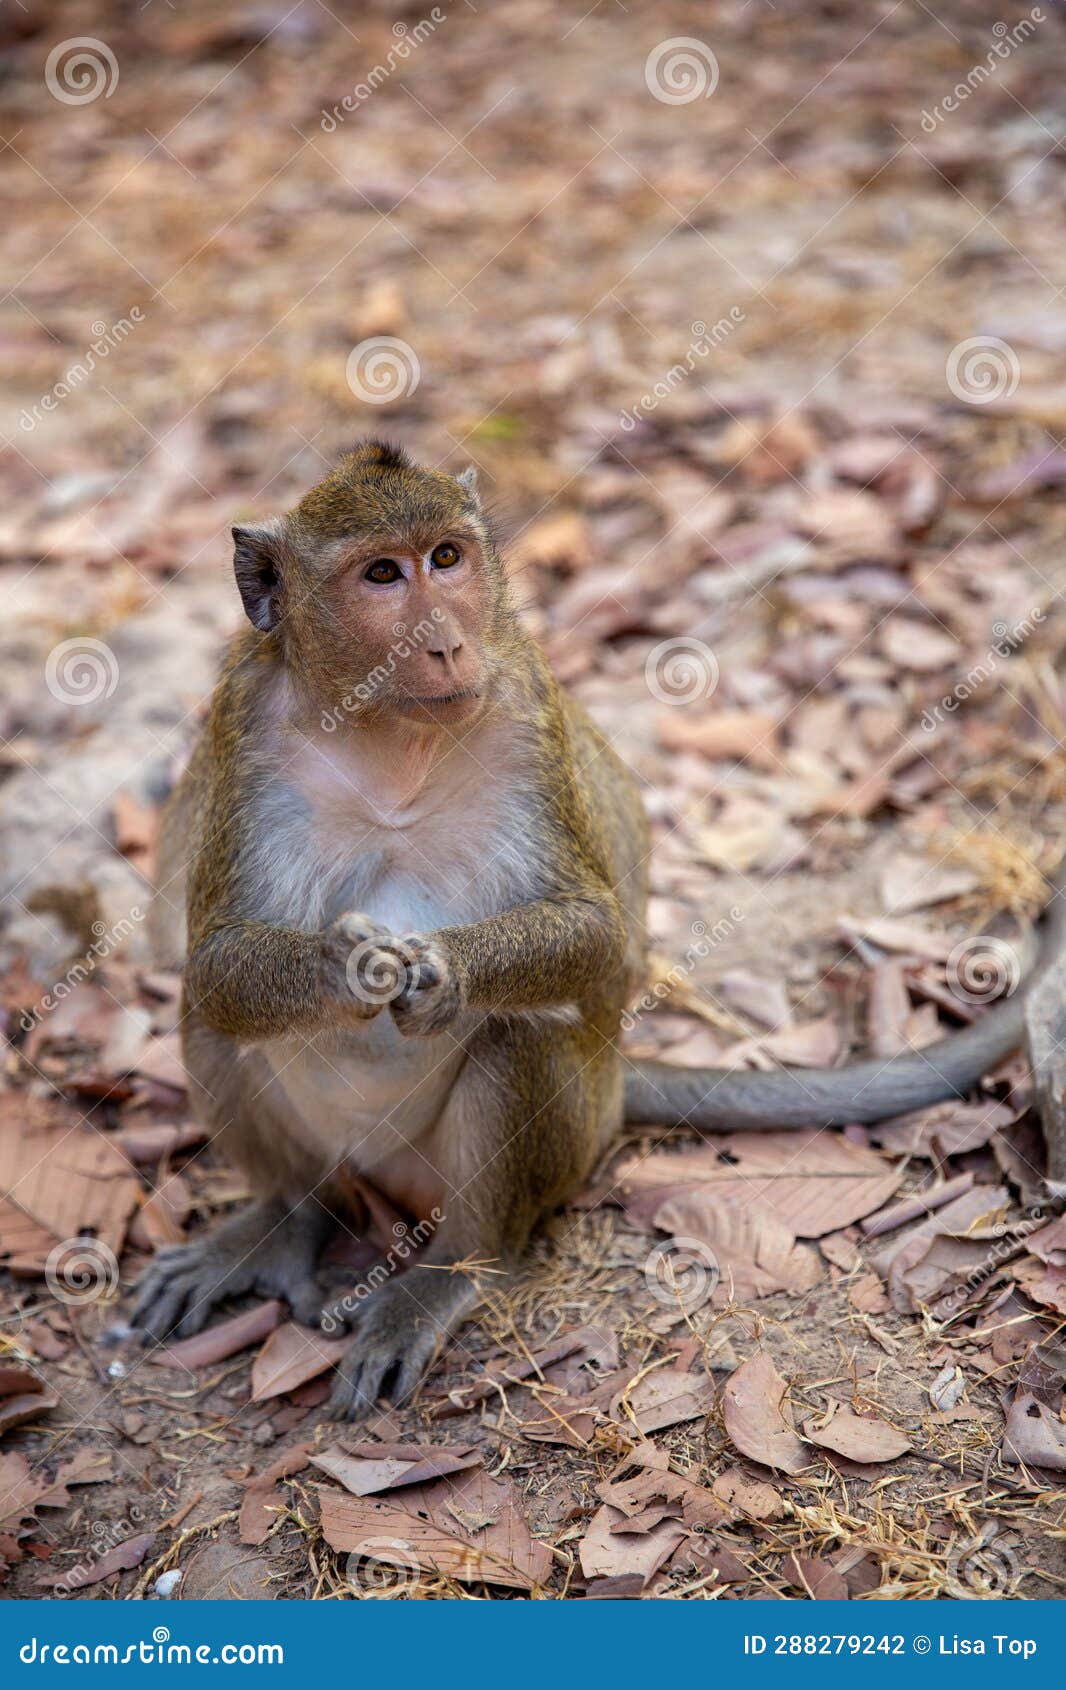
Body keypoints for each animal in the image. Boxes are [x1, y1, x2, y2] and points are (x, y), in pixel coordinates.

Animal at [131, 439, 1065, 1417]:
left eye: (447, 559)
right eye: (382, 574)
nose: (447, 641)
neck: (389, 737)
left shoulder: (523, 702)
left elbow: (595, 936)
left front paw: (446, 971)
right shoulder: (244, 718)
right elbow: (216, 962)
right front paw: (349, 971)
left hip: (551, 1145)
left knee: (519, 1041)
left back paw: (456, 1273)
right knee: (213, 1023)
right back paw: (284, 1222)